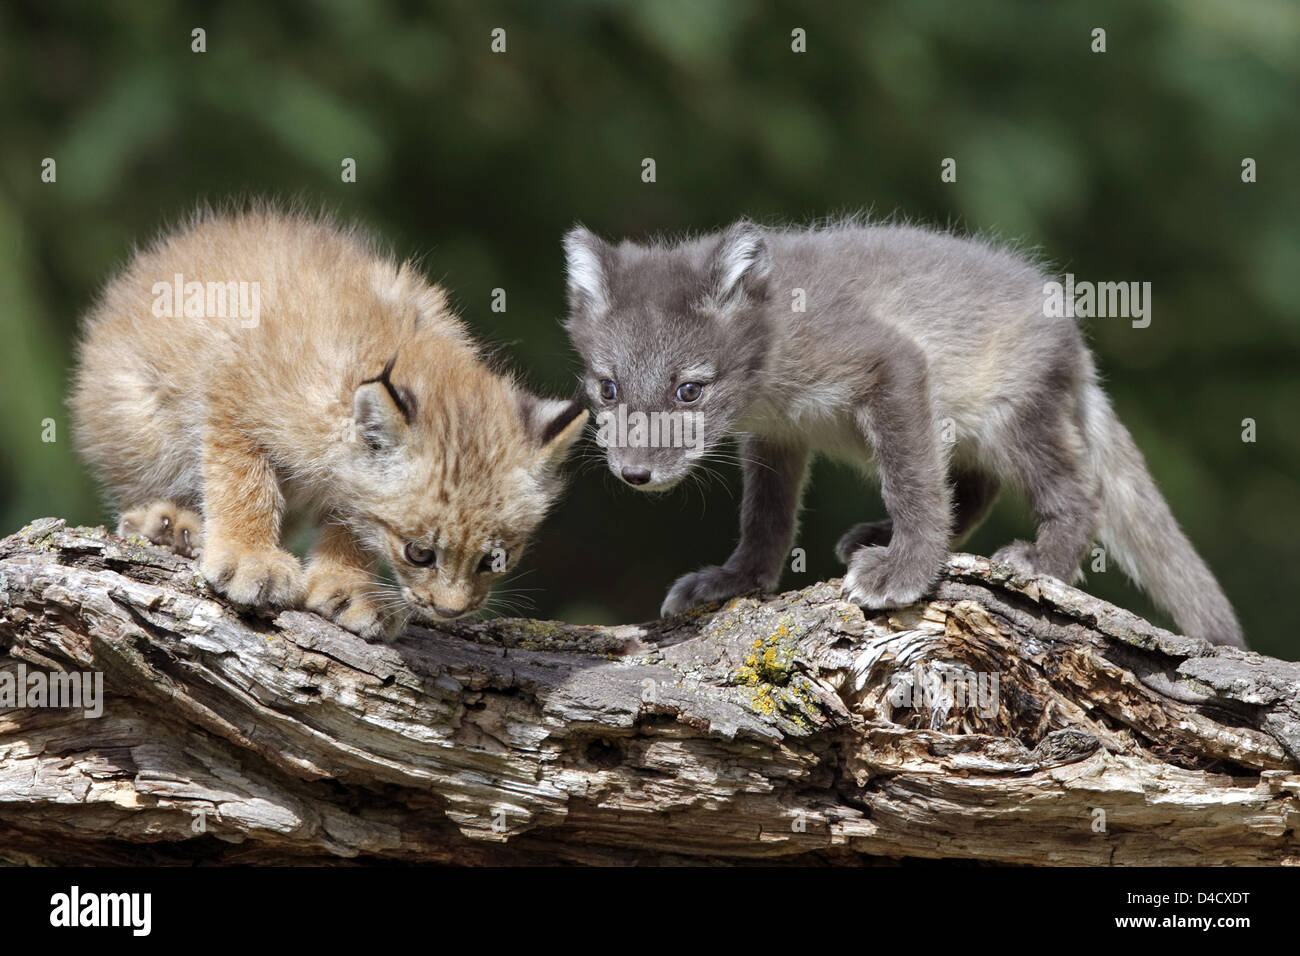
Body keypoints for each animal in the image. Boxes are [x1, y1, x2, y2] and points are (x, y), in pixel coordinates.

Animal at [71, 204, 586, 641]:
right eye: (418, 553)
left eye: (495, 559)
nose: (450, 612)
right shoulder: (234, 391)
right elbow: (244, 481)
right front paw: (249, 557)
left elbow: (352, 519)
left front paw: (349, 586)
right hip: (140, 418)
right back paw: (170, 522)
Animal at [562, 217, 1245, 648]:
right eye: (608, 389)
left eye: (689, 390)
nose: (634, 475)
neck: (776, 343)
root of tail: (1076, 342)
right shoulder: (777, 436)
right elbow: (766, 518)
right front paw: (735, 582)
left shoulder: (890, 364)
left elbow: (912, 484)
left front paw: (906, 571)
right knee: (972, 490)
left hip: (1012, 418)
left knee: (1078, 494)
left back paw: (1040, 564)